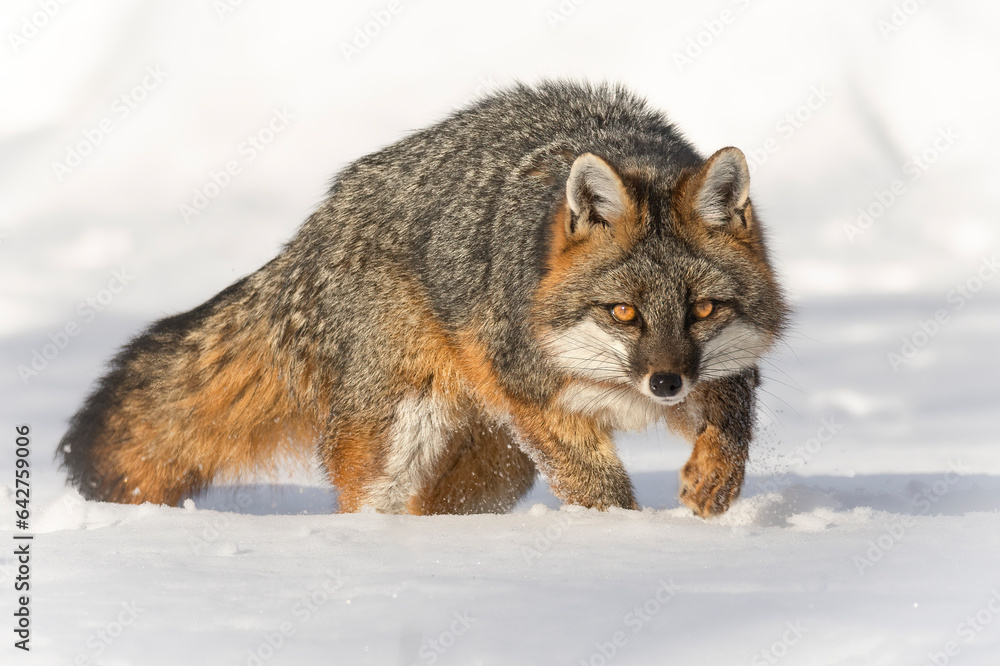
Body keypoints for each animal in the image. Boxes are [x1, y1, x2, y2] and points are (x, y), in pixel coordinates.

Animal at [57, 81, 787, 517]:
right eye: (624, 313)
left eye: (702, 310)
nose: (665, 383)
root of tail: (322, 217)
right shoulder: (535, 397)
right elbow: (598, 486)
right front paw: (628, 536)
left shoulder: (724, 368)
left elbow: (732, 424)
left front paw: (713, 486)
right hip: (404, 435)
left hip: (494, 474)